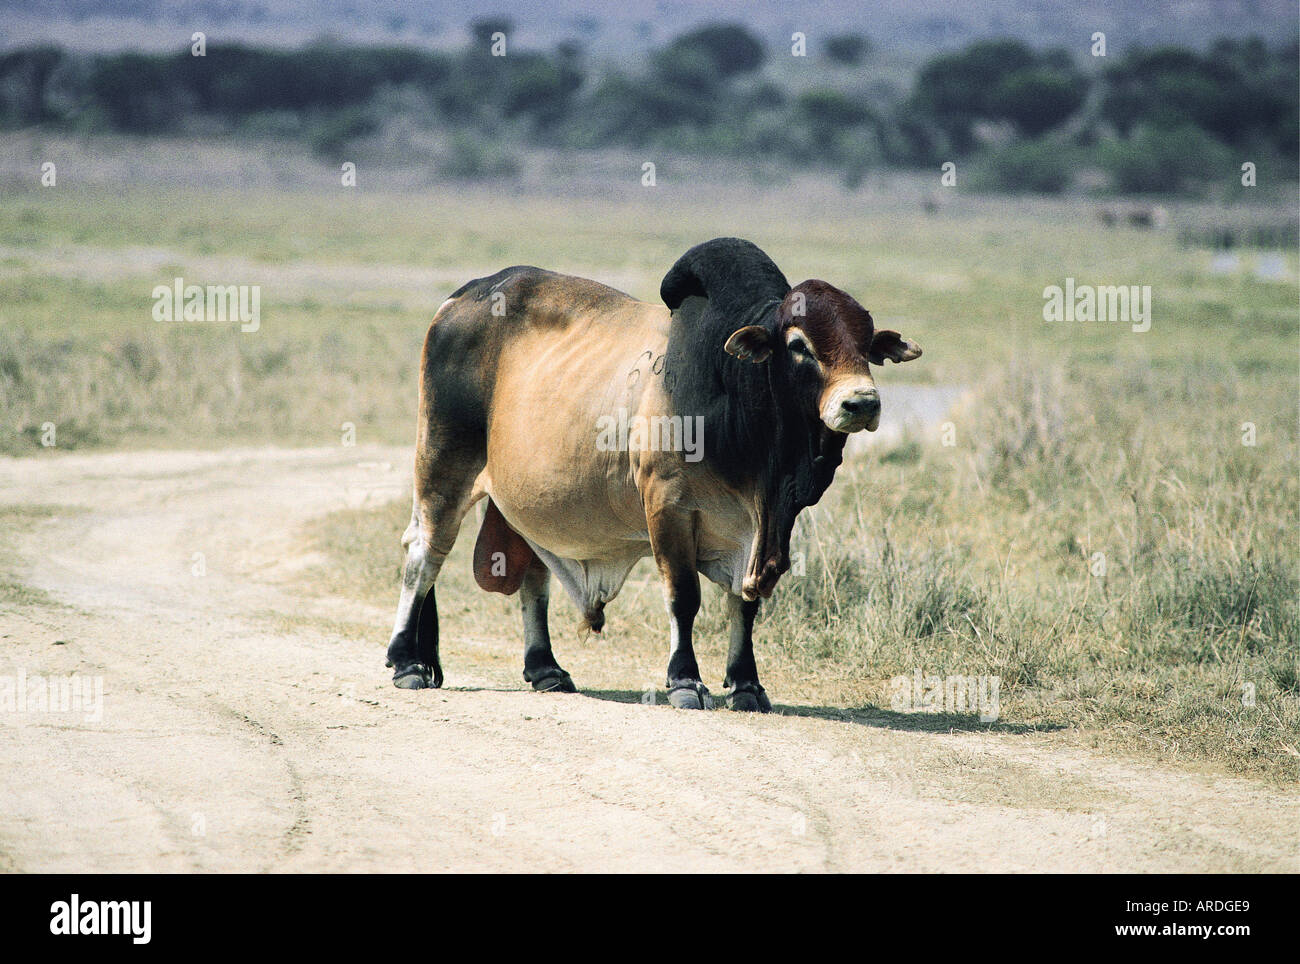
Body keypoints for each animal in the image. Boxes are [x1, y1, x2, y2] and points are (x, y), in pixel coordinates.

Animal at [385, 238, 921, 710]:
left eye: (866, 345)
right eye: (799, 345)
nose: (861, 403)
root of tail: (462, 296)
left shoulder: (766, 528)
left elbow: (744, 604)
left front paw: (747, 684)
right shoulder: (668, 505)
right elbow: (683, 597)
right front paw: (685, 681)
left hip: (522, 503)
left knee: (533, 575)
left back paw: (545, 668)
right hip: (443, 461)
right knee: (424, 554)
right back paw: (407, 661)